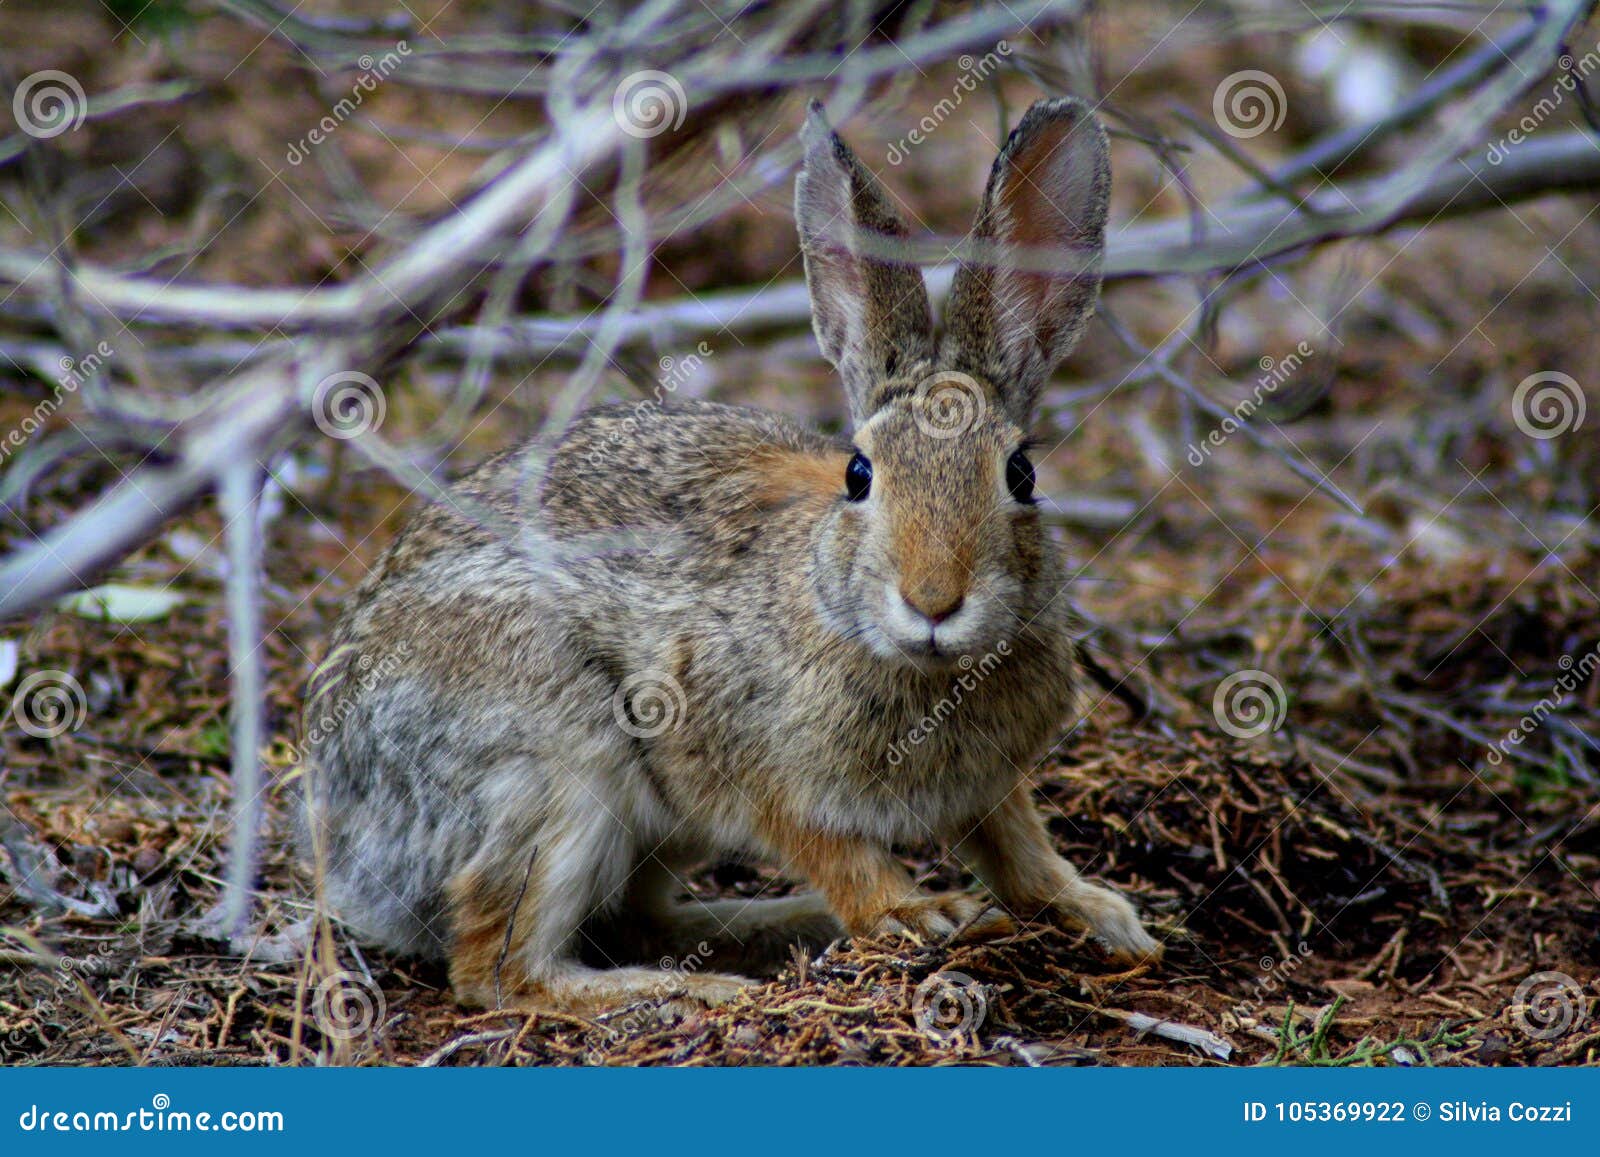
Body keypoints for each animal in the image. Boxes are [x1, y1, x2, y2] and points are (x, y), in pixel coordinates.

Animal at [298, 96, 1159, 1016]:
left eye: (1021, 474)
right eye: (859, 475)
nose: (933, 599)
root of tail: (344, 843)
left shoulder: (989, 784)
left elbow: (1017, 846)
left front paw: (1101, 917)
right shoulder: (746, 755)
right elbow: (832, 847)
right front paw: (913, 914)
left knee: (633, 918)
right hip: (560, 766)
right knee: (500, 966)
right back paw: (695, 991)